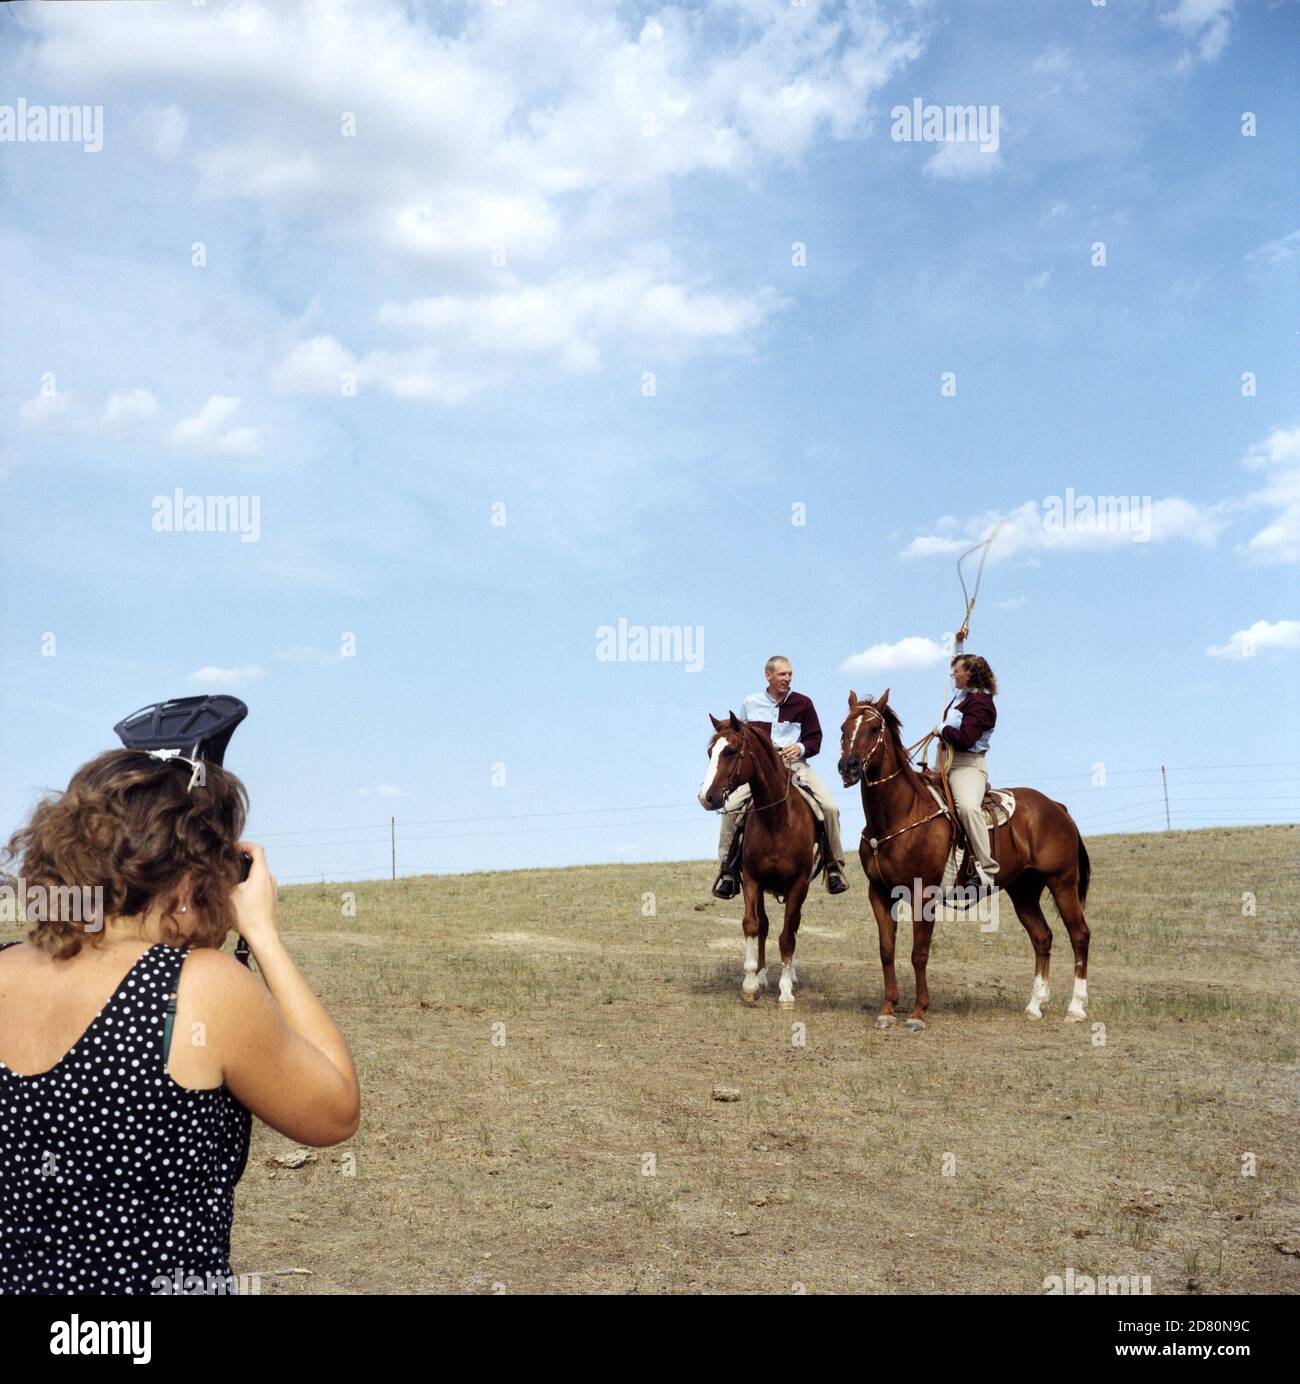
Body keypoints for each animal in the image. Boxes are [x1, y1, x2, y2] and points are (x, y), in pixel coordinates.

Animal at [698, 713, 820, 1006]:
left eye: (730, 751)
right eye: (710, 752)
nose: (706, 798)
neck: (776, 819)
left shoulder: (798, 884)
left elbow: (787, 935)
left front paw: (786, 991)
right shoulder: (752, 879)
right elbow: (752, 925)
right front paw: (751, 982)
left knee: (793, 926)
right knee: (763, 925)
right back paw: (763, 976)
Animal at [837, 689, 1091, 1031]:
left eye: (874, 729)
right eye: (843, 728)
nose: (848, 767)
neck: (900, 813)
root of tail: (1057, 807)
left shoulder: (923, 895)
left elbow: (919, 953)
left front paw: (918, 1013)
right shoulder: (879, 892)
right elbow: (887, 950)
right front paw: (888, 1008)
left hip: (1062, 883)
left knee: (1079, 935)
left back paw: (1075, 1008)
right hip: (1024, 891)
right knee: (1042, 937)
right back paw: (1034, 1005)